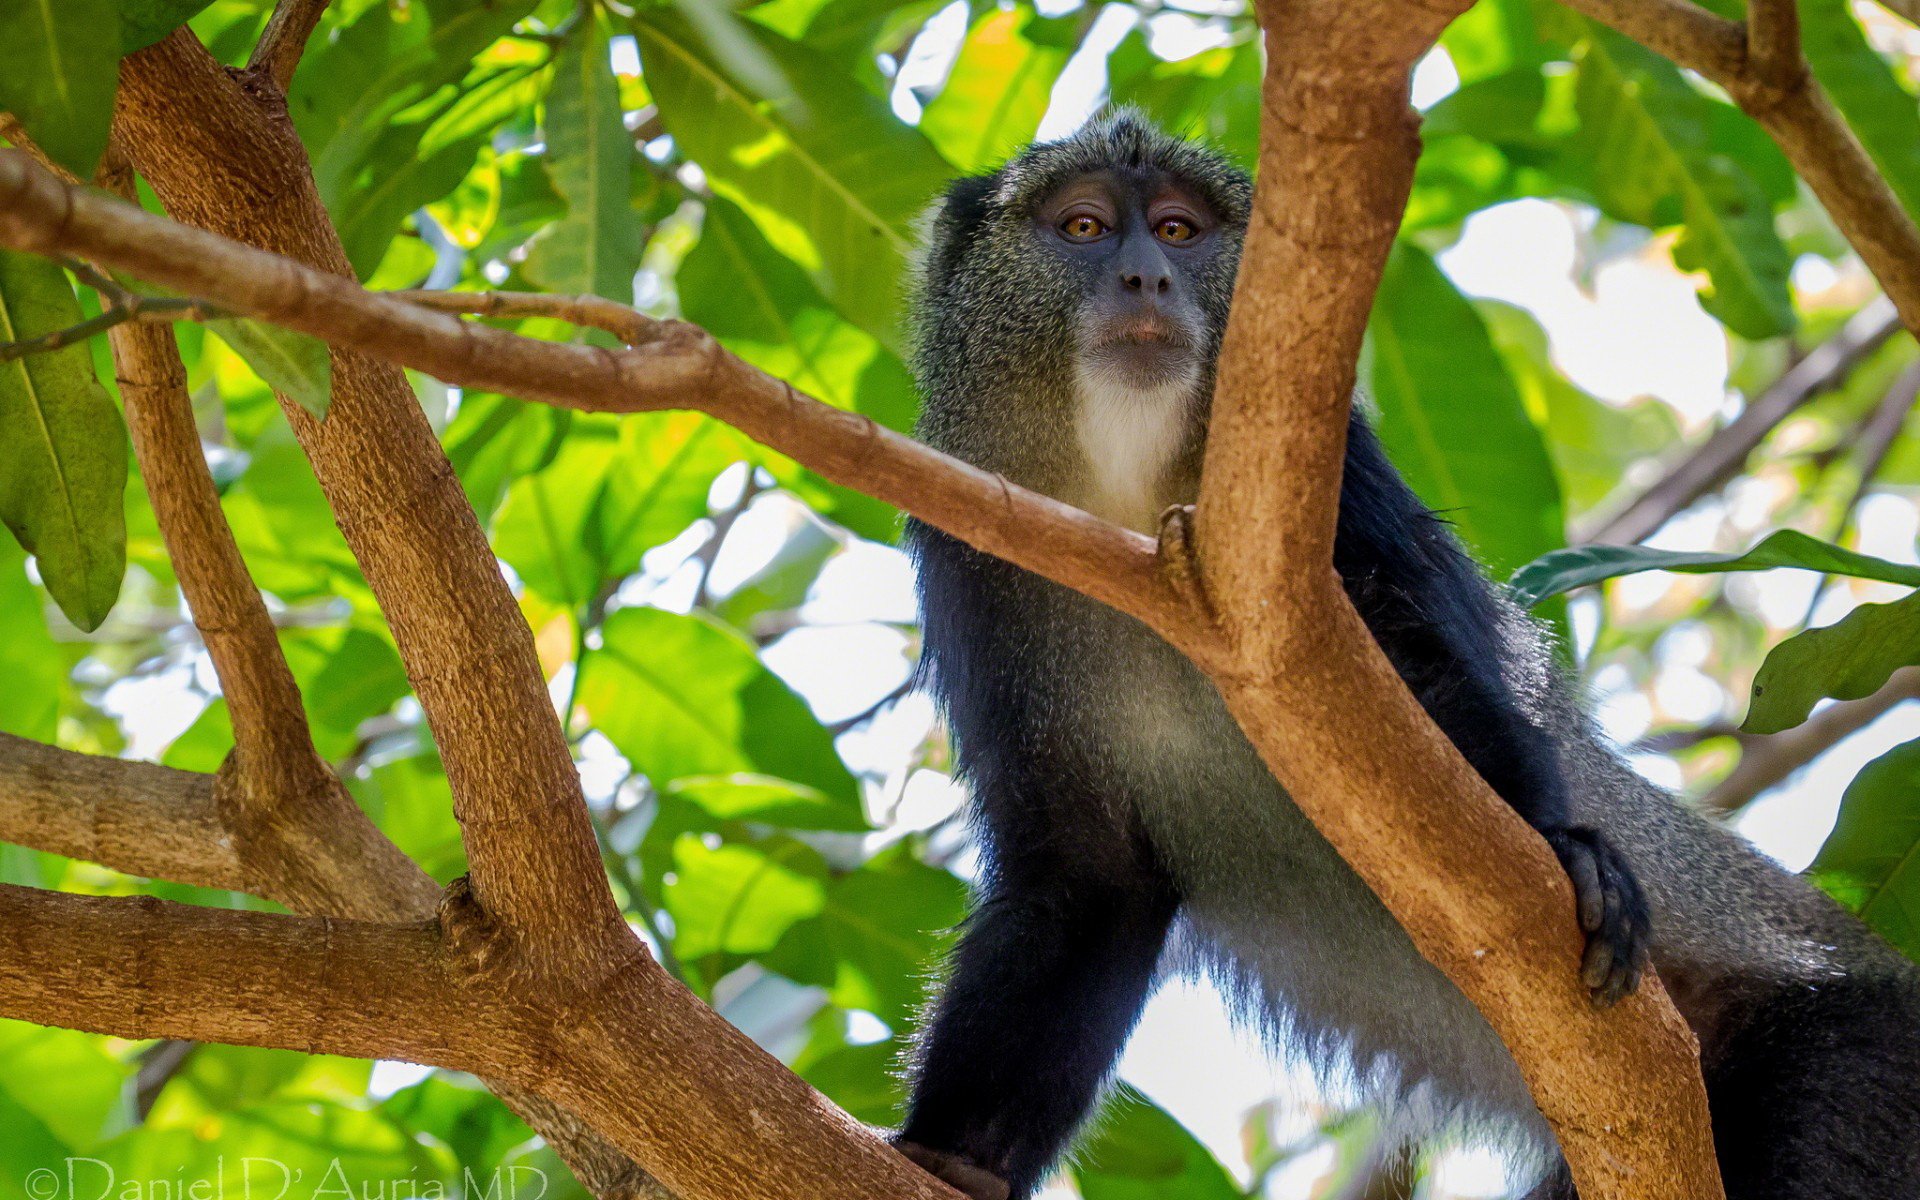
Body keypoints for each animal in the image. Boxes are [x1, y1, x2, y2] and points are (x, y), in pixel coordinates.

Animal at [890, 112, 1920, 1200]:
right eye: (1083, 226)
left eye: (1177, 230)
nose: (1145, 278)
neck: (1127, 509)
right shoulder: (972, 561)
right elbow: (1084, 878)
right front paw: (953, 1155)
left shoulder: (1340, 484)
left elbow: (1441, 679)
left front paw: (1569, 851)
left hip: (1851, 1062)